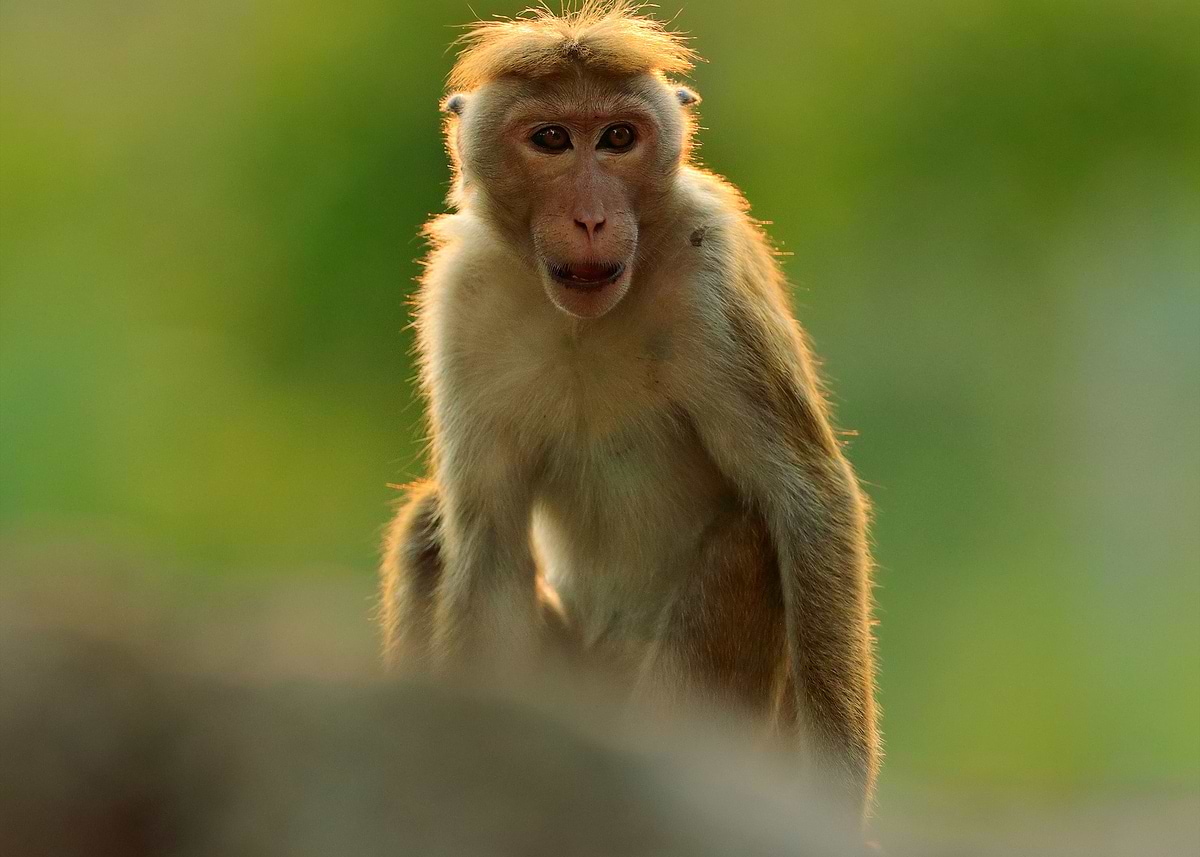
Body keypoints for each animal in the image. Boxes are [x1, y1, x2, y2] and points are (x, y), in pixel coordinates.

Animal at [380, 1, 880, 827]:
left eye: (617, 138)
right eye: (552, 139)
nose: (590, 217)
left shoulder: (712, 274)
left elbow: (809, 500)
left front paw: (836, 795)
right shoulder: (461, 299)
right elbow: (486, 544)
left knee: (749, 538)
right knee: (432, 526)